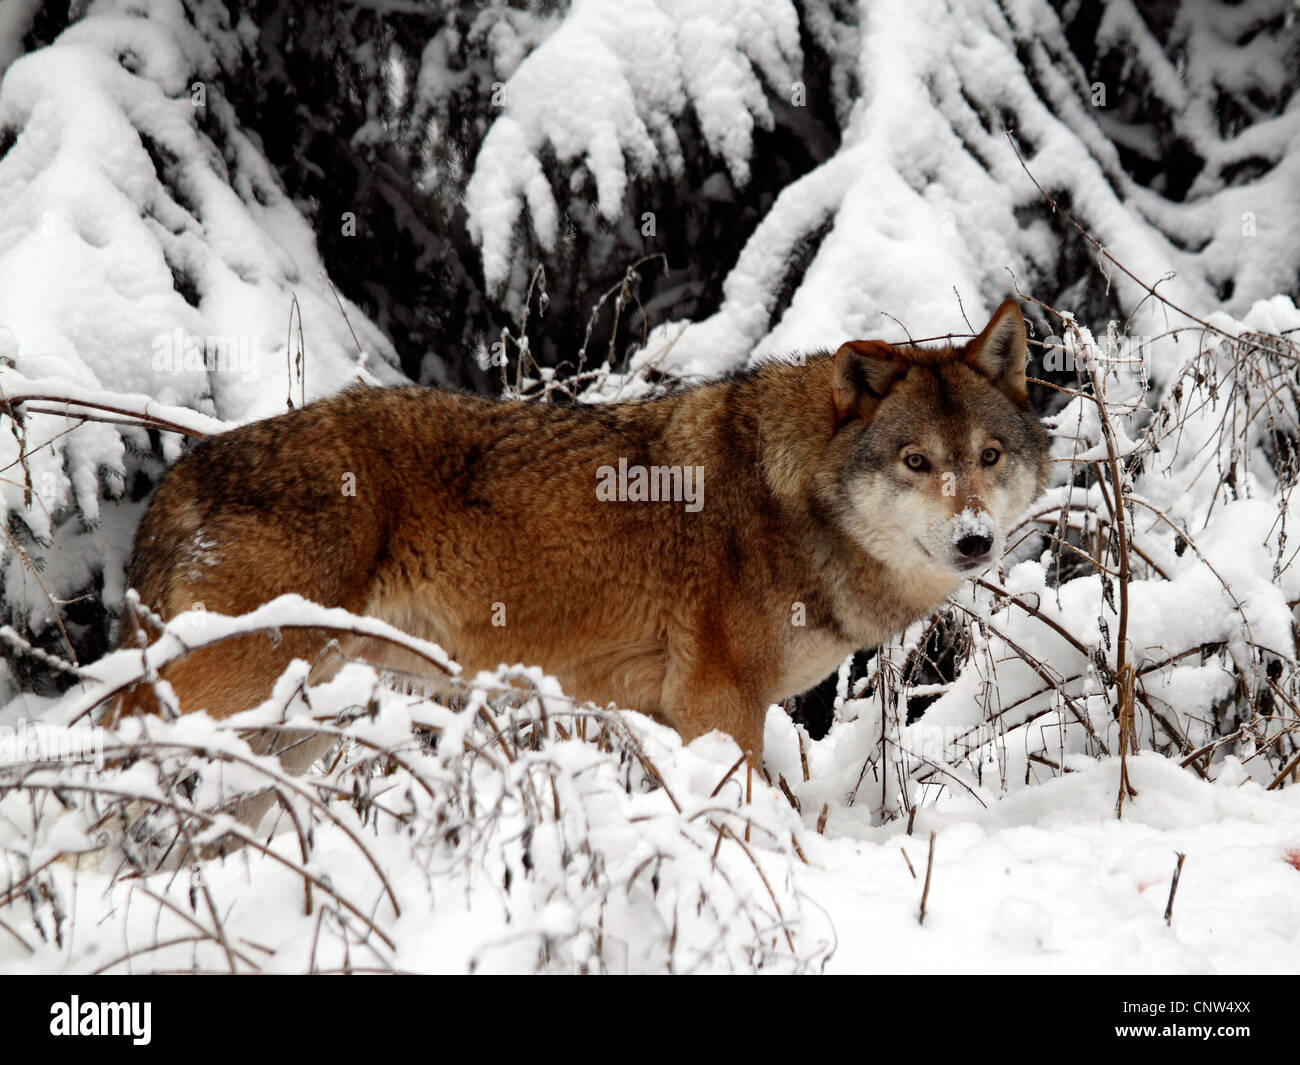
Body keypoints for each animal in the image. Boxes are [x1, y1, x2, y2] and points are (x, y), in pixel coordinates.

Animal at [112, 299, 1049, 766]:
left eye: (988, 456)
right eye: (916, 462)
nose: (975, 542)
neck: (792, 504)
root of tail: (177, 482)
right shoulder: (716, 707)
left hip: (290, 739)